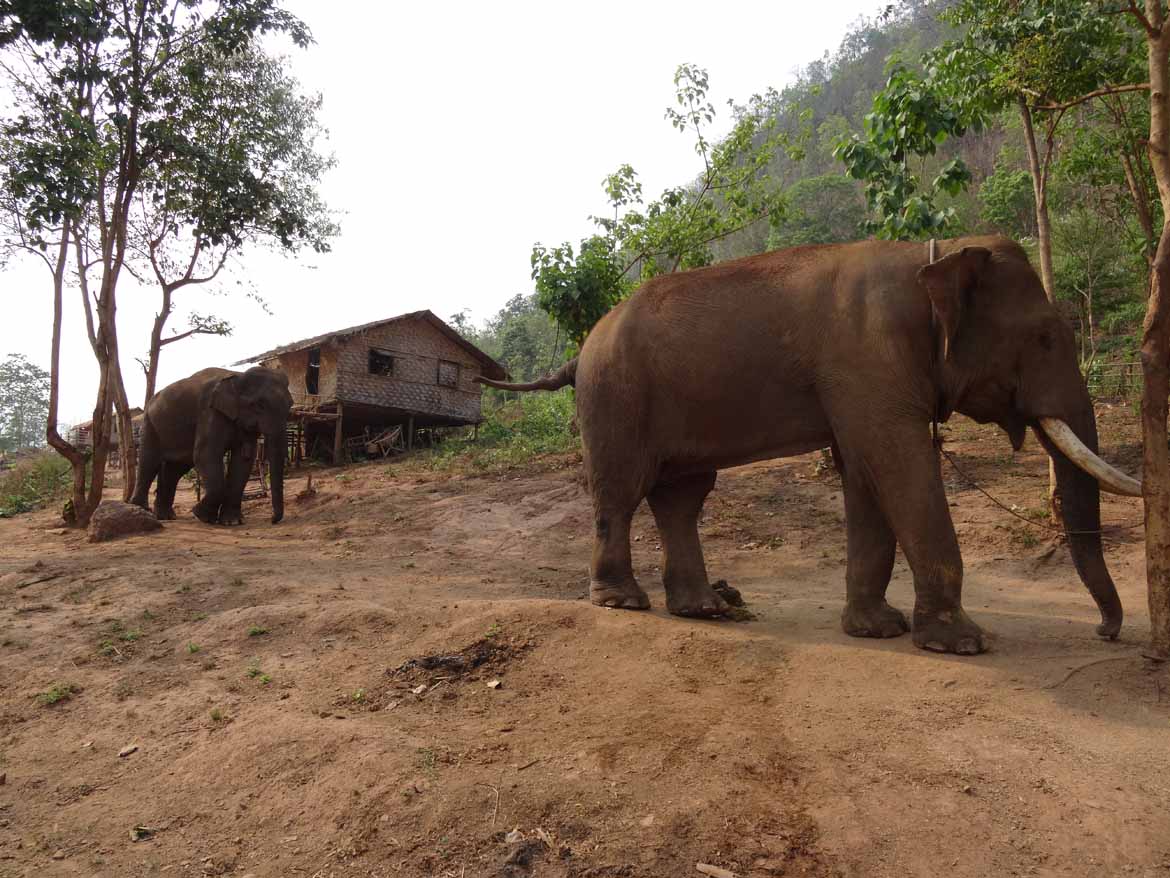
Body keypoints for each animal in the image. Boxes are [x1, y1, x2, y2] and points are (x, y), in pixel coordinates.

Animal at [131, 366, 293, 526]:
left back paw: (165, 516)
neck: (238, 376)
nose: (272, 520)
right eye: (259, 405)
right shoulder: (209, 412)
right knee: (149, 462)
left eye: (290, 405)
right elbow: (205, 454)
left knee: (175, 469)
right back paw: (142, 511)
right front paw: (201, 515)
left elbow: (244, 460)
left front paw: (232, 522)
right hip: (149, 424)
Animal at [476, 235, 1142, 655]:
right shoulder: (867, 362)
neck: (932, 252)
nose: (1106, 633)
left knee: (682, 498)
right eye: (1046, 338)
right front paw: (962, 644)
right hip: (615, 397)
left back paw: (703, 608)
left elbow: (865, 470)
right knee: (621, 492)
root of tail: (578, 351)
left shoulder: (864, 379)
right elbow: (897, 461)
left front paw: (878, 630)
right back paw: (623, 603)